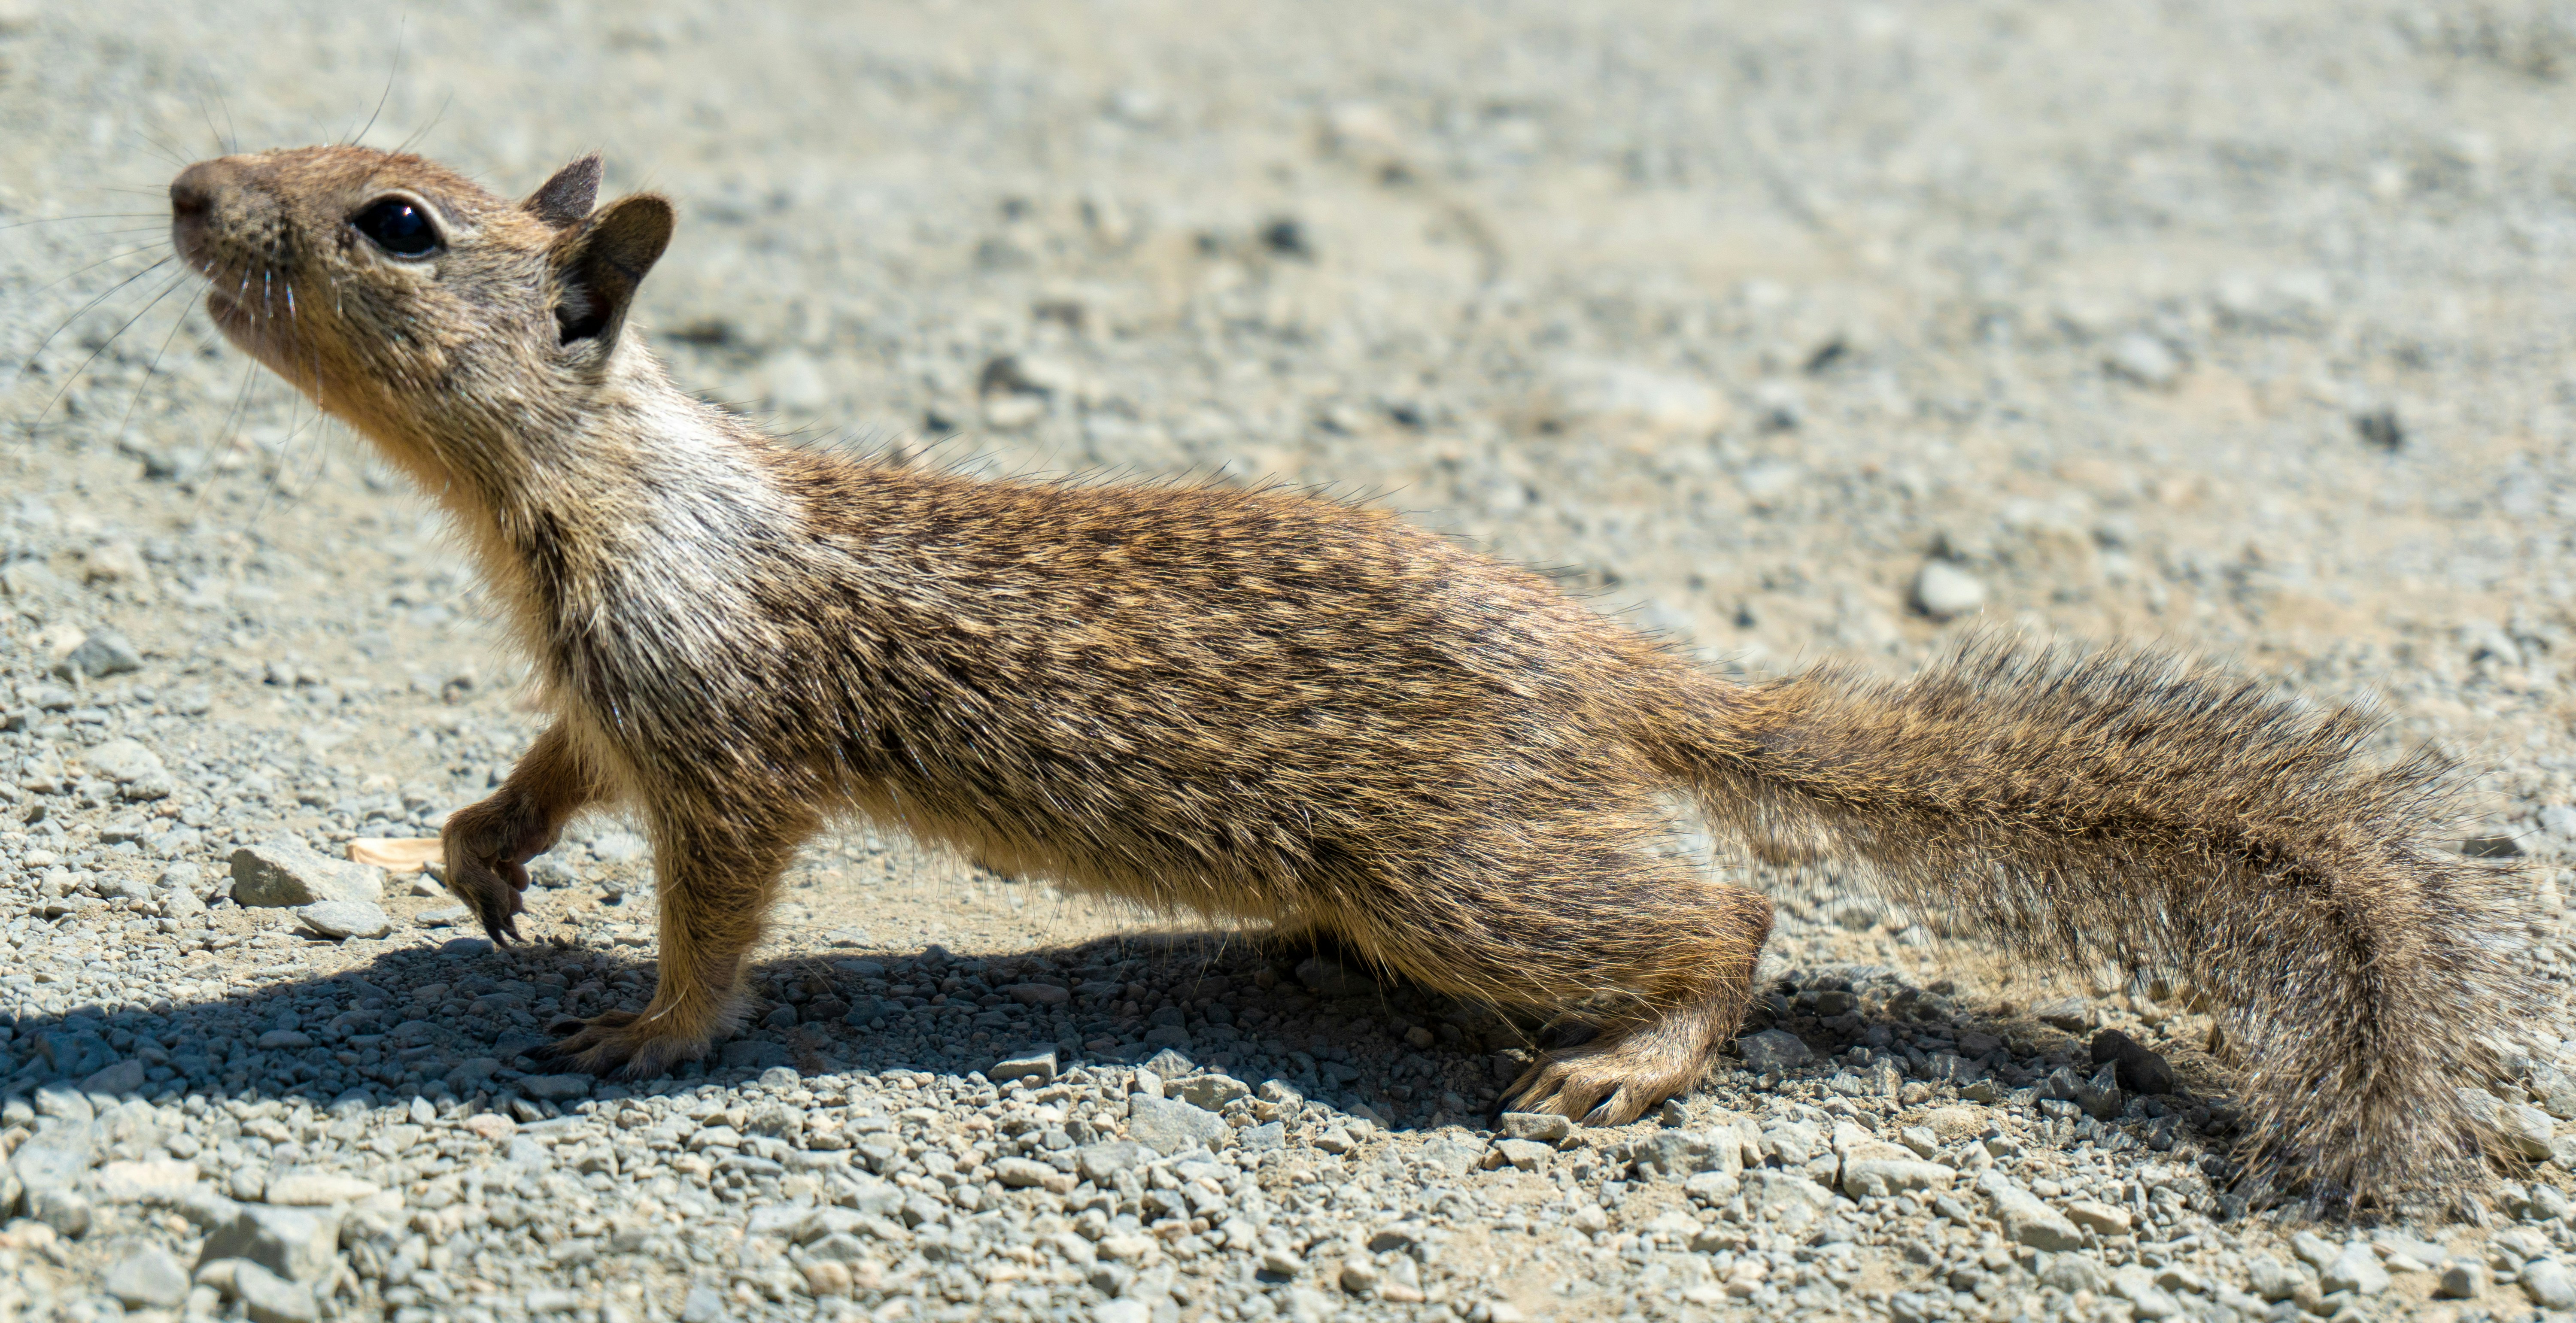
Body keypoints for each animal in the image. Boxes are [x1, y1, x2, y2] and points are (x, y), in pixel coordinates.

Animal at [165, 144, 2533, 1208]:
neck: (593, 485)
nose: (187, 185)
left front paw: (644, 1030)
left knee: (1730, 908)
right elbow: (542, 776)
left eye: (393, 225)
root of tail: (1605, 652)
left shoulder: (723, 730)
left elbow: (718, 904)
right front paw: (478, 858)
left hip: (1463, 870)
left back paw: (1625, 1062)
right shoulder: (609, 688)